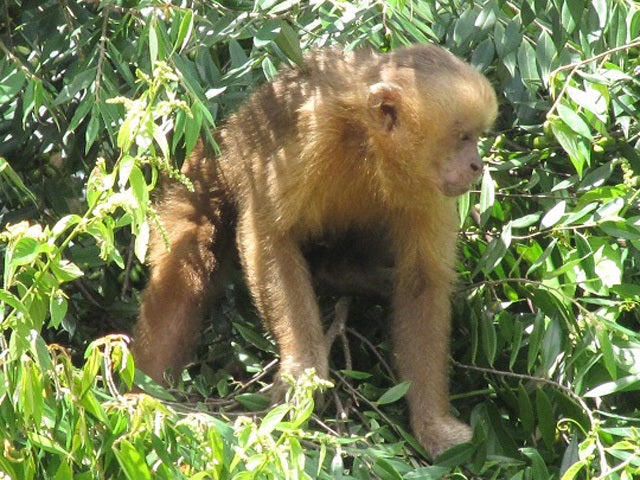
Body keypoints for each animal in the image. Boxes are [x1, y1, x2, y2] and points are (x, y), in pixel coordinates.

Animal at [132, 44, 498, 457]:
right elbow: (269, 234)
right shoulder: (315, 128)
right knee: (189, 254)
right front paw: (302, 369)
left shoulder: (428, 187)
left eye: (477, 137)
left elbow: (422, 281)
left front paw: (432, 424)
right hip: (206, 168)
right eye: (463, 137)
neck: (371, 146)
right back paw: (141, 396)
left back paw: (343, 273)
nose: (477, 164)